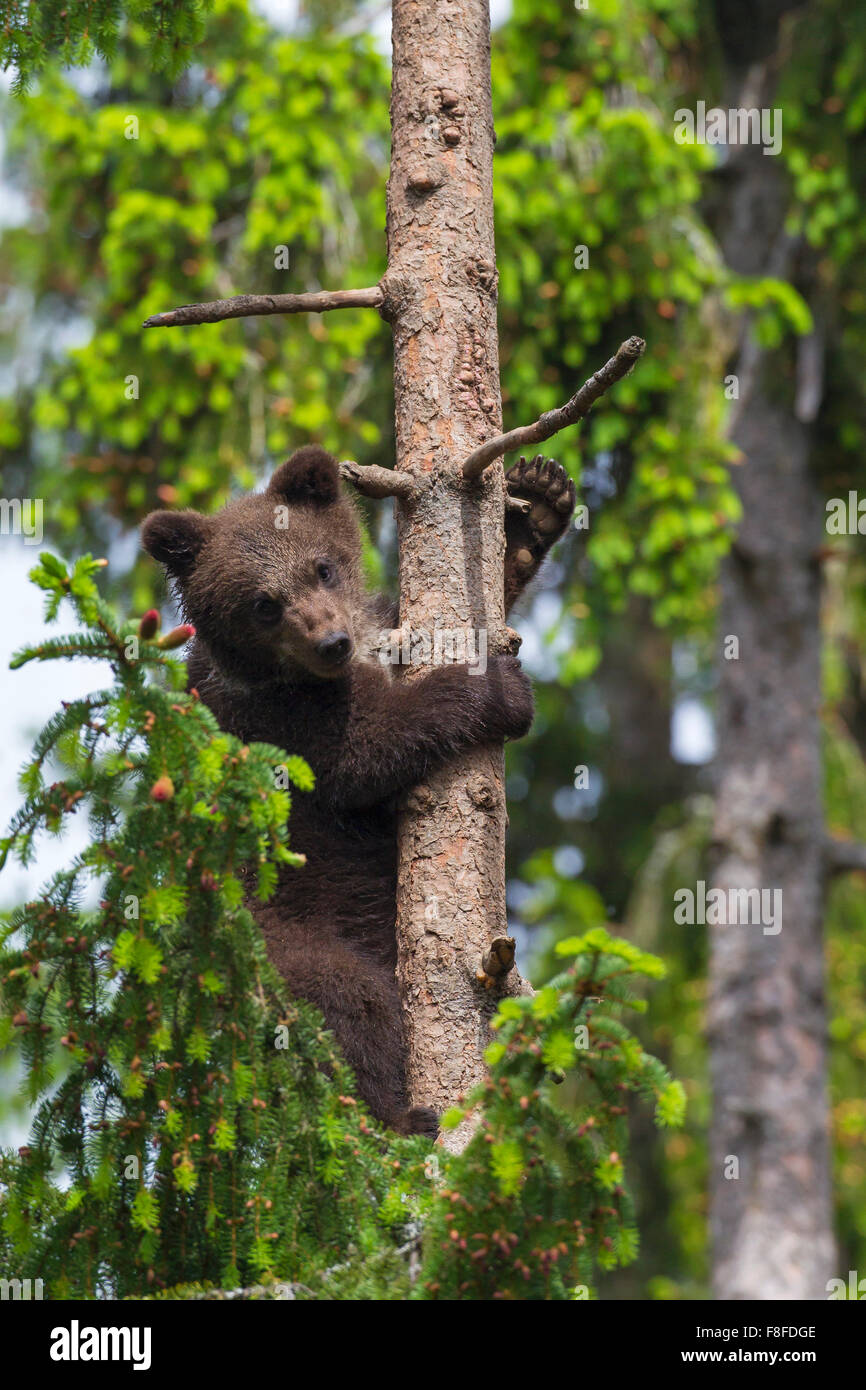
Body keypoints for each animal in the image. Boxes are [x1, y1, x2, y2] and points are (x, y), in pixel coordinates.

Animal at [142, 447, 575, 1135]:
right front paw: (497, 687)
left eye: (322, 567)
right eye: (263, 604)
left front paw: (539, 503)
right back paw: (402, 1116)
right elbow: (364, 749)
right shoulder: (274, 725)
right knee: (348, 1005)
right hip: (284, 939)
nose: (331, 641)